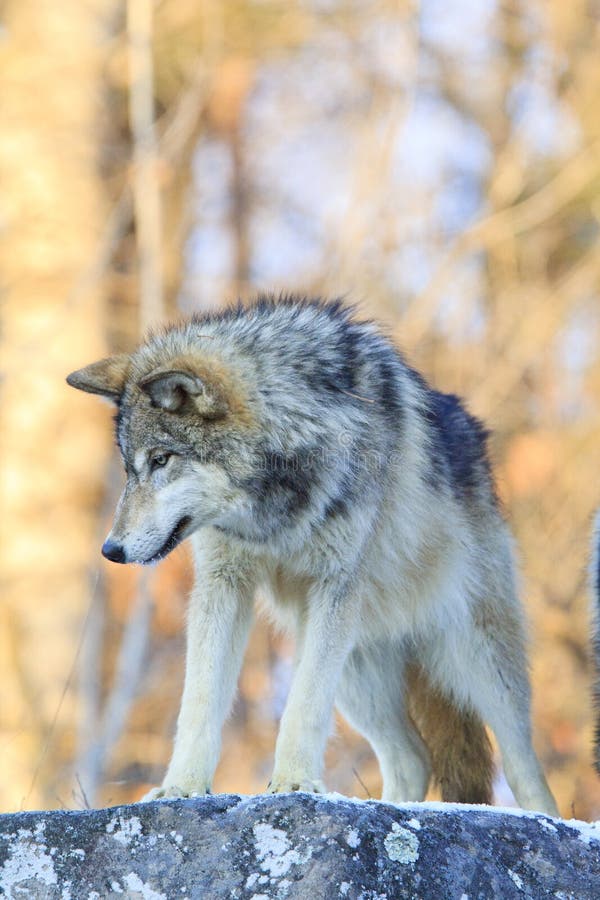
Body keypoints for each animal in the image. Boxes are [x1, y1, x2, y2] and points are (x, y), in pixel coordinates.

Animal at [67, 295, 558, 815]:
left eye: (161, 460)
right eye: (128, 468)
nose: (111, 550)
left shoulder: (334, 586)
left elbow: (303, 705)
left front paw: (294, 781)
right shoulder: (223, 584)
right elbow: (199, 702)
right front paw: (182, 786)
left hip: (476, 661)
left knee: (523, 764)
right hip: (359, 674)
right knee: (413, 757)